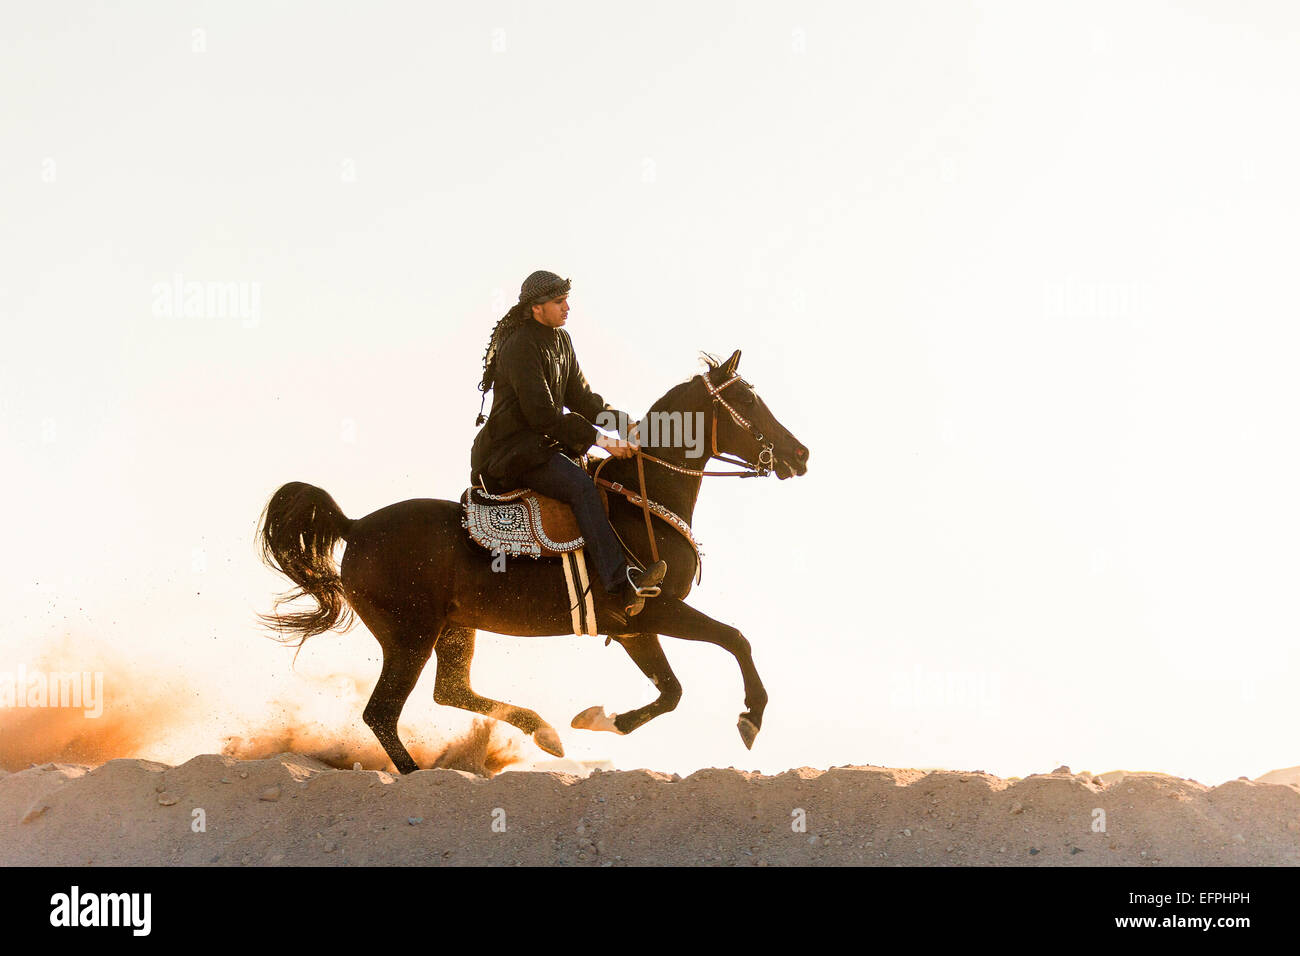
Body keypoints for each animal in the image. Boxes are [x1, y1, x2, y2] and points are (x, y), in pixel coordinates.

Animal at [256, 349, 809, 774]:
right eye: (746, 400)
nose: (800, 454)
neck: (642, 499)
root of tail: (354, 525)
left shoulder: (635, 625)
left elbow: (671, 690)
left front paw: (600, 719)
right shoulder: (658, 609)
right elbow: (734, 640)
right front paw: (751, 718)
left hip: (452, 628)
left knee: (450, 690)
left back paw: (543, 732)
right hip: (409, 634)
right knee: (383, 713)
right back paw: (419, 773)